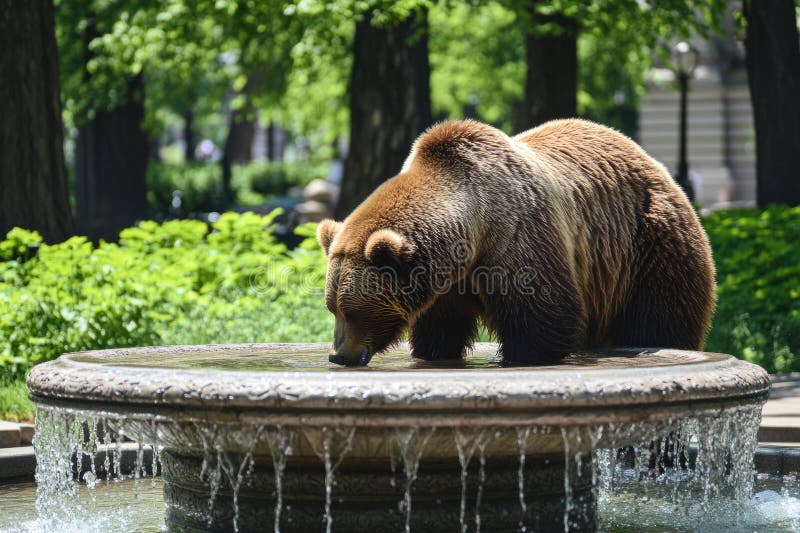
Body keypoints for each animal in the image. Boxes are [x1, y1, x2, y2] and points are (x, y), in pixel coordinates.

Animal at [317, 119, 715, 366]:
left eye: (351, 310)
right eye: (331, 307)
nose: (339, 355)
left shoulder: (517, 235)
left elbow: (542, 317)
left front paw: (521, 356)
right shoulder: (442, 283)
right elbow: (439, 330)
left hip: (648, 245)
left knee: (661, 317)